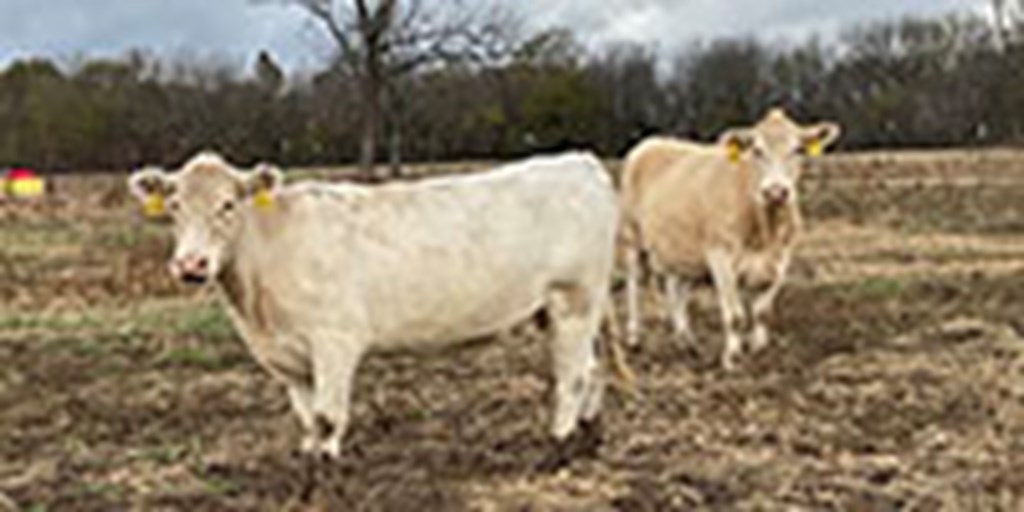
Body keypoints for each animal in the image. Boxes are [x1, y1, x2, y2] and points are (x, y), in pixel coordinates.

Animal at [128, 151, 624, 459]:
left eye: (228, 204)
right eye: (173, 205)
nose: (191, 264)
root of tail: (580, 162)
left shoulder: (335, 342)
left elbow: (328, 420)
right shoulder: (288, 360)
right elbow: (307, 423)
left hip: (574, 299)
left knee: (572, 377)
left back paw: (556, 448)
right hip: (560, 310)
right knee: (593, 367)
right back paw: (588, 440)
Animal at [620, 108, 841, 370]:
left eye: (798, 150)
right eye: (756, 150)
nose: (775, 191)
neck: (765, 230)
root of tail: (651, 142)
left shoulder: (781, 261)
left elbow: (762, 312)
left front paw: (759, 351)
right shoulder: (720, 257)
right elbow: (735, 315)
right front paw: (732, 358)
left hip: (682, 249)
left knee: (676, 287)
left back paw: (686, 341)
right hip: (633, 238)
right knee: (634, 283)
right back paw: (634, 338)